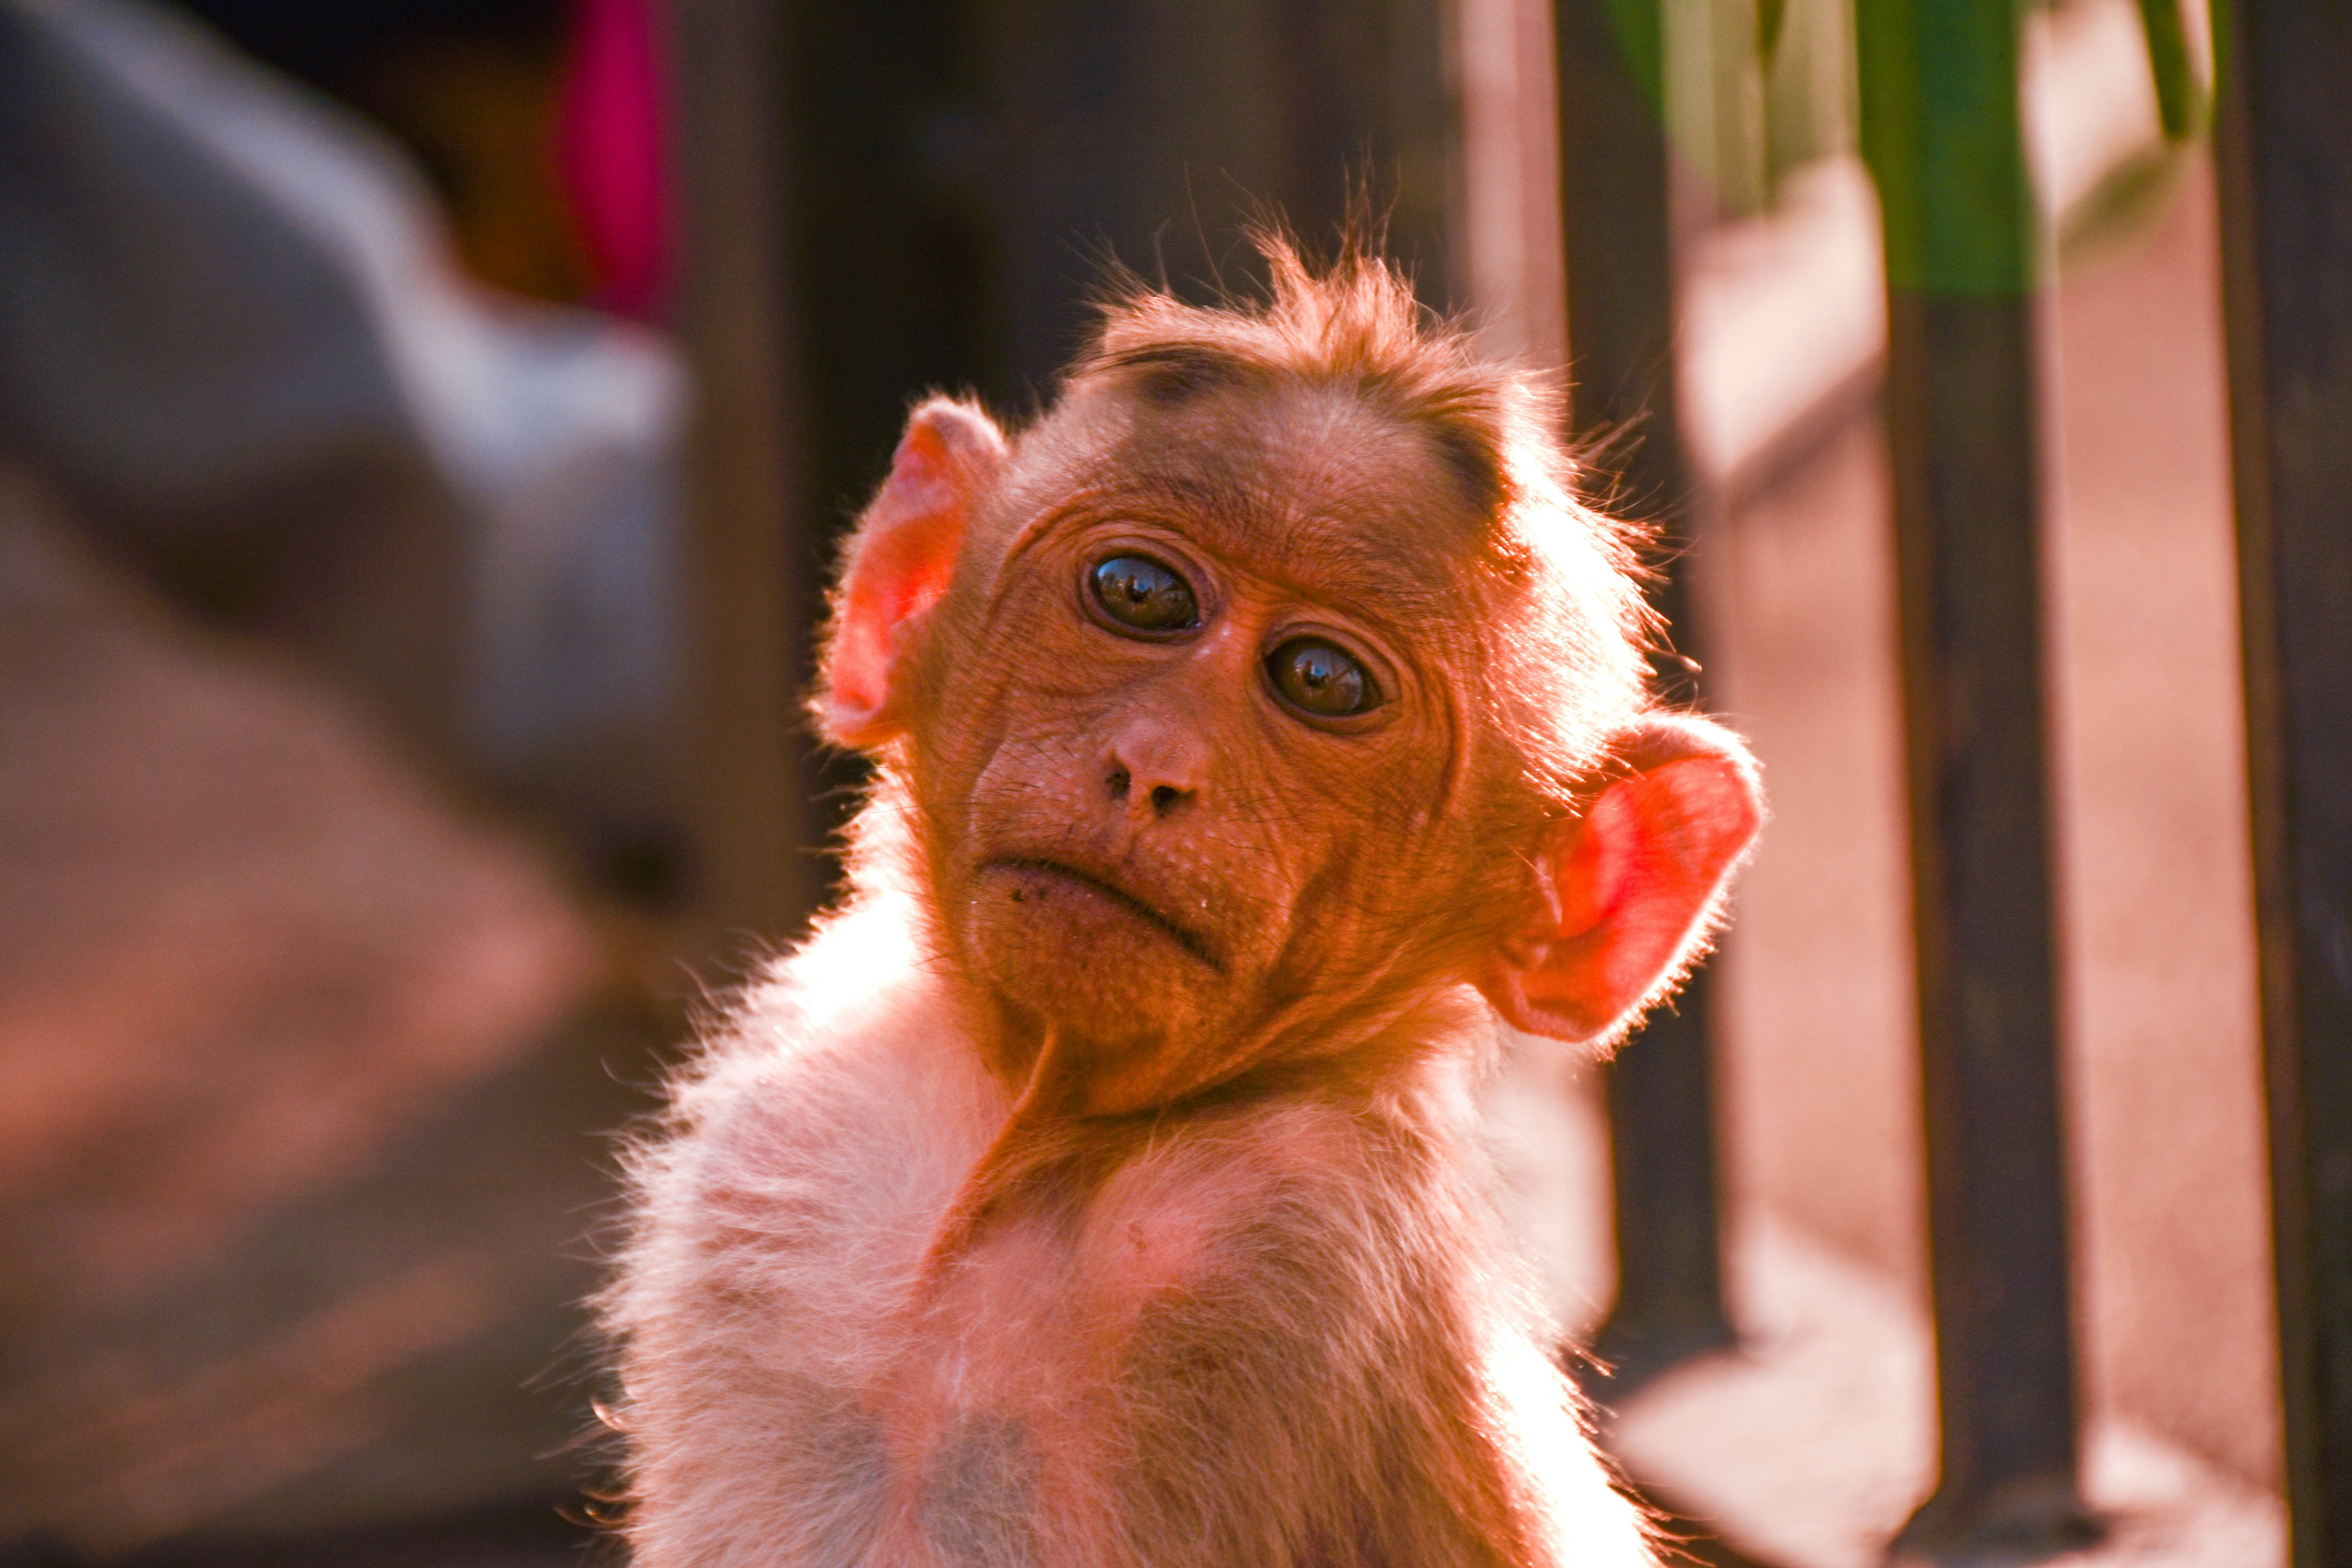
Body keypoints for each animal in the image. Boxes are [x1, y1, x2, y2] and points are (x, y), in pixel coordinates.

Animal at [601, 235, 1763, 1567]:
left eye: (1321, 681)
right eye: (1137, 593)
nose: (1154, 766)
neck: (1030, 1149)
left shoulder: (1282, 1260)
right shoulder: (791, 1130)